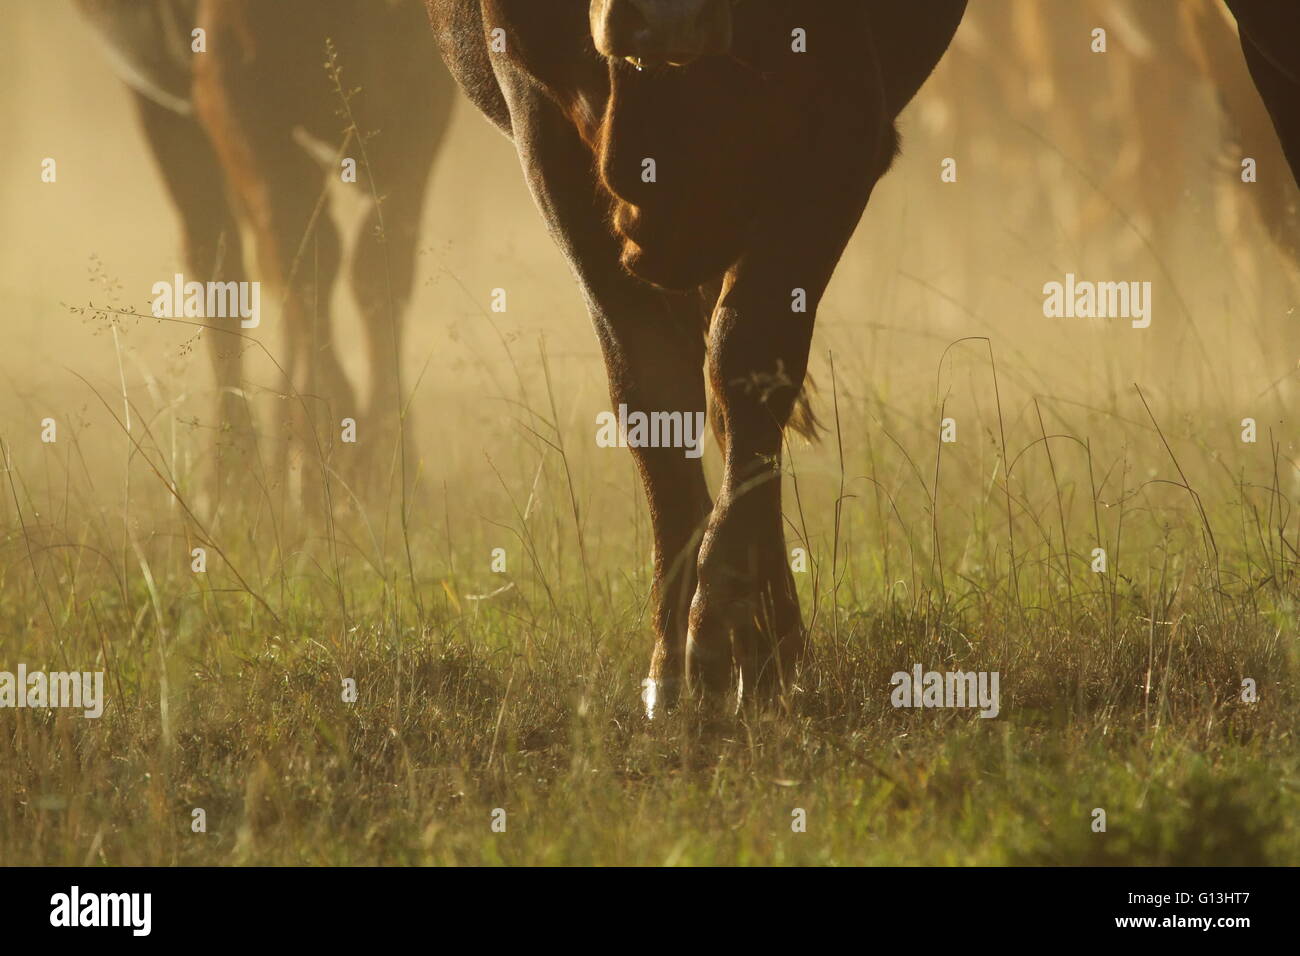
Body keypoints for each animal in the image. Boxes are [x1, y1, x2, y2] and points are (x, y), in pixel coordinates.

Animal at [76, 0, 456, 496]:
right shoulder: (233, 79)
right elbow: (307, 252)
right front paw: (323, 461)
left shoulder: (422, 90)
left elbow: (380, 267)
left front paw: (387, 465)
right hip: (163, 105)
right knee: (220, 261)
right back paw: (231, 481)